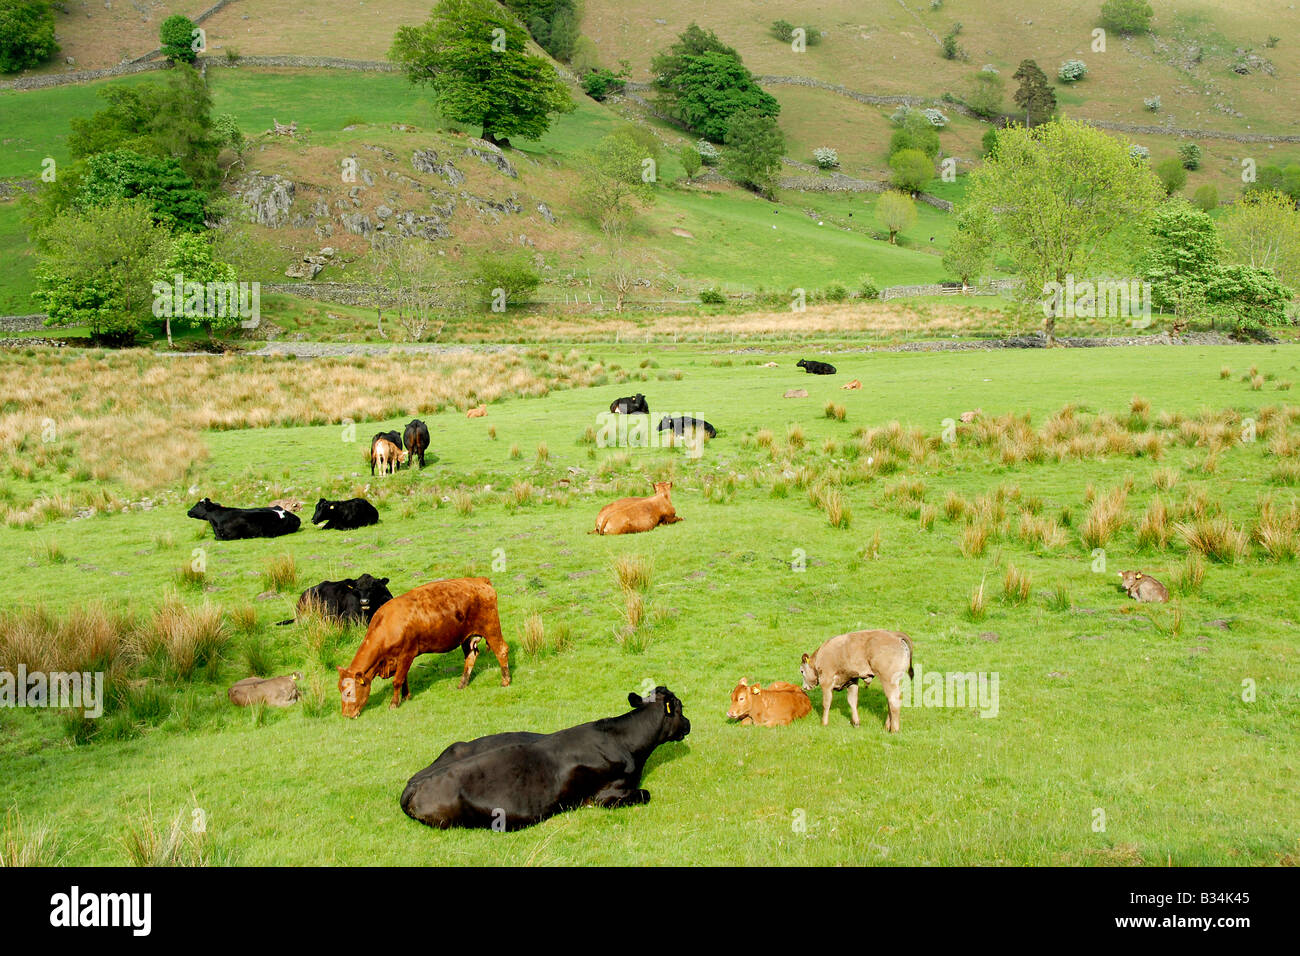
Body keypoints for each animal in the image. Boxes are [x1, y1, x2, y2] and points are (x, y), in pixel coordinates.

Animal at [337, 577, 510, 717]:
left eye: (349, 692)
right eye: (340, 690)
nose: (346, 714)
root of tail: (479, 580)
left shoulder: (407, 653)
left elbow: (397, 681)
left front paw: (394, 703)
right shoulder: (399, 659)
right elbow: (404, 678)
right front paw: (406, 696)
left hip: (491, 628)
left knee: (501, 650)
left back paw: (505, 681)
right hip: (467, 638)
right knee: (471, 656)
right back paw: (462, 684)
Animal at [399, 686, 690, 831]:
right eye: (680, 707)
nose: (688, 724)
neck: (625, 740)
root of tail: (414, 784)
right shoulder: (606, 796)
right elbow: (646, 794)